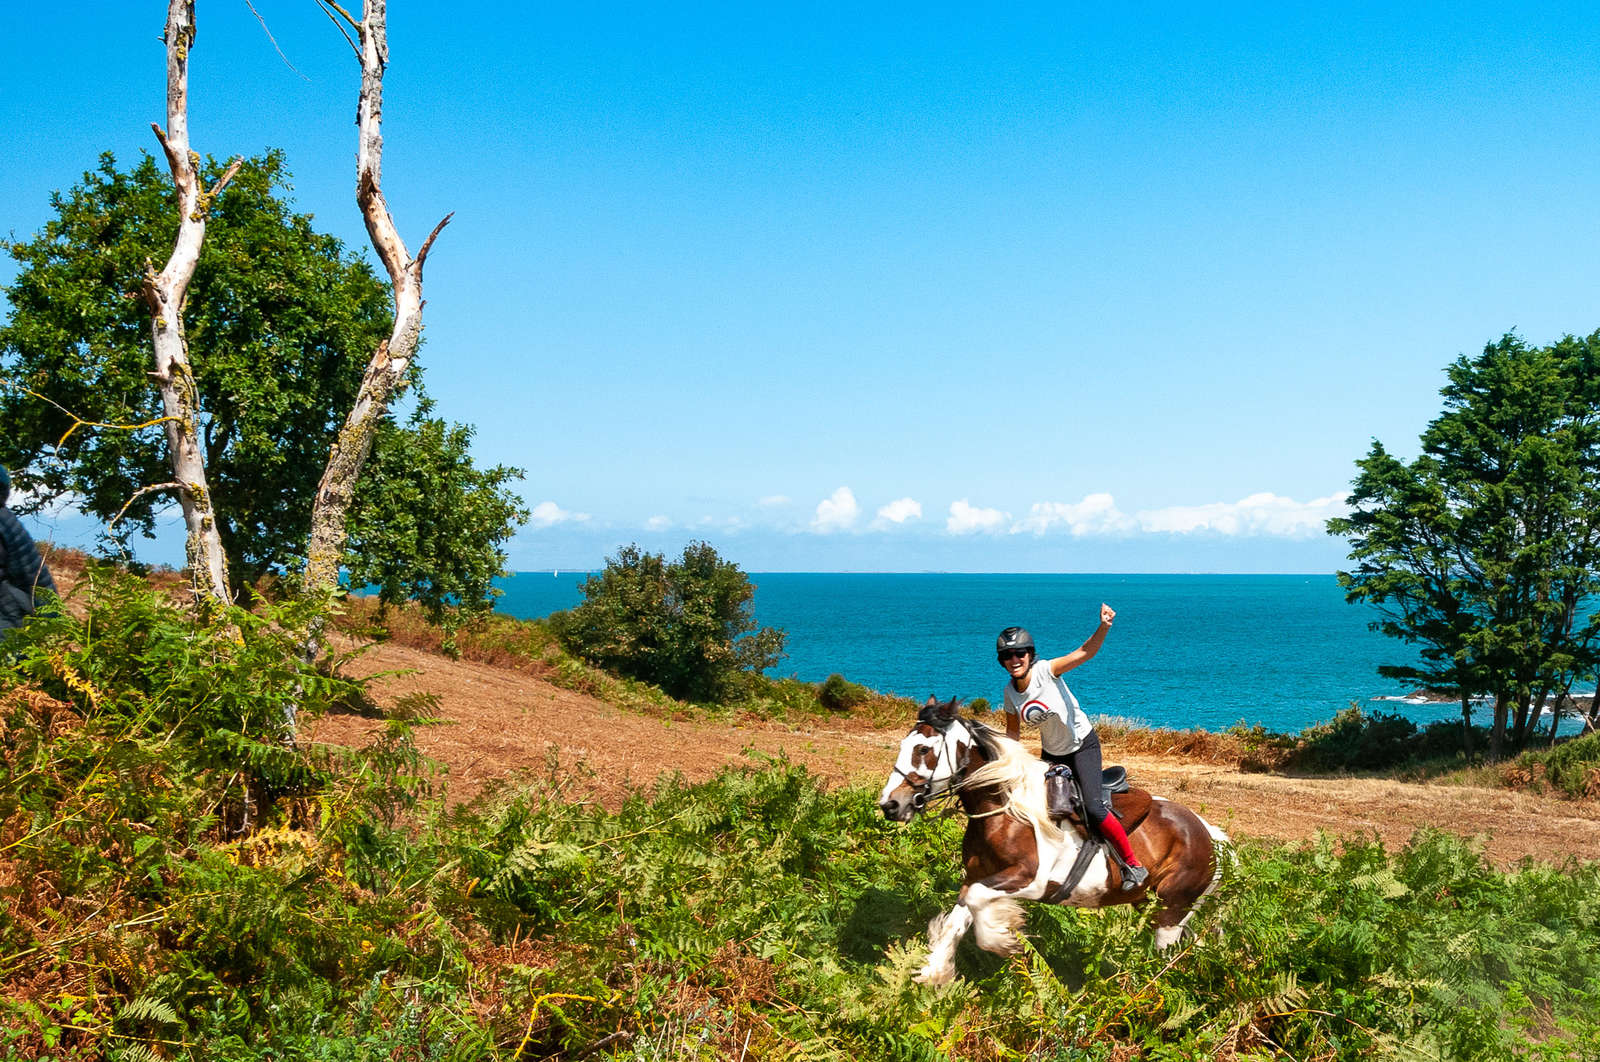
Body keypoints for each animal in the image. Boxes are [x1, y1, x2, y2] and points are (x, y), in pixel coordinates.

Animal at [878, 696, 1229, 985]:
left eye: (923, 749)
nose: (890, 804)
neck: (1005, 808)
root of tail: (1210, 834)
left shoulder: (1030, 880)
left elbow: (978, 903)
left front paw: (1001, 937)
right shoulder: (979, 875)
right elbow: (959, 914)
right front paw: (933, 973)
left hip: (1171, 910)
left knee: (1166, 959)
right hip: (1161, 905)